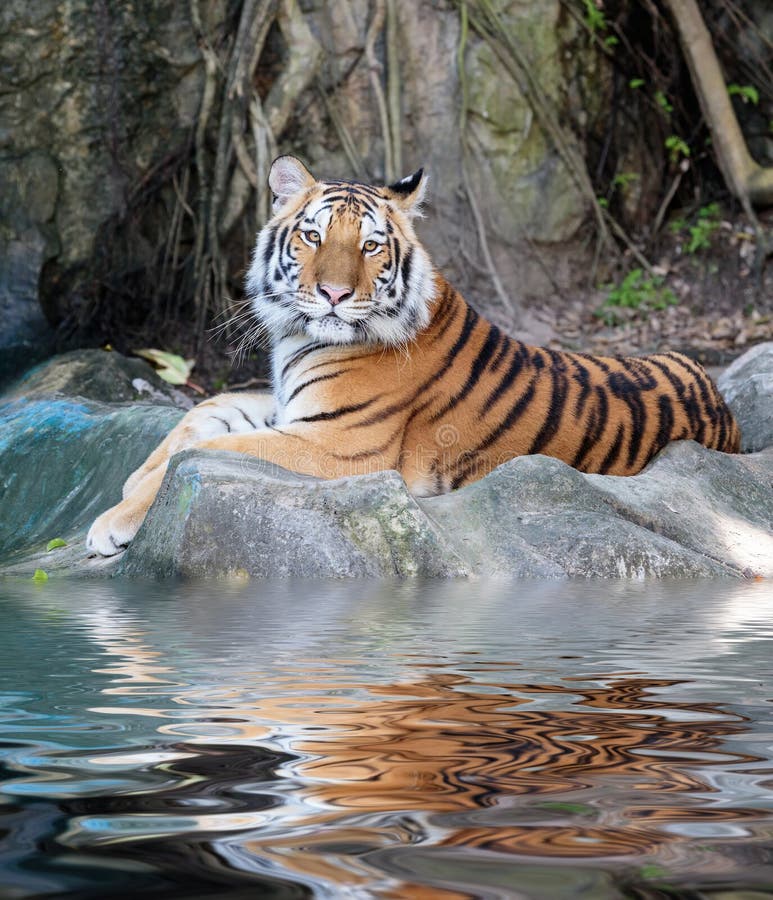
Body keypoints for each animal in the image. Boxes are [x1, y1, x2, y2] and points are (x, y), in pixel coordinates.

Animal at [86, 154, 741, 556]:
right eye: (313, 236)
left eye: (371, 246)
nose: (333, 294)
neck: (300, 336)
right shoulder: (288, 407)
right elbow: (203, 414)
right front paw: (131, 480)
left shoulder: (338, 442)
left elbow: (205, 447)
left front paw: (112, 521)